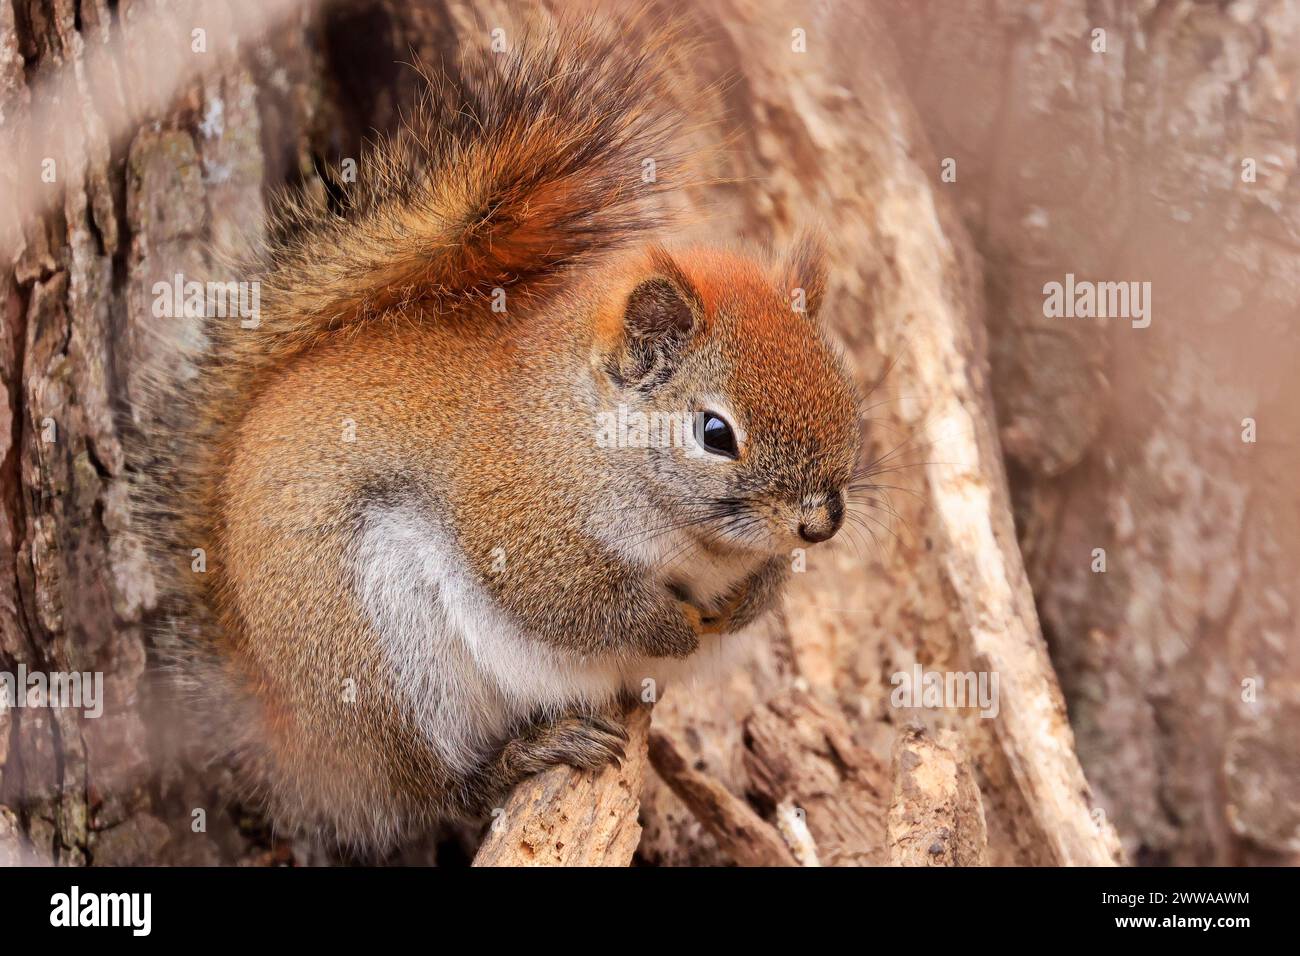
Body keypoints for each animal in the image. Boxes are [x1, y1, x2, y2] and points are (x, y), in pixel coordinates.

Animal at [133, 21, 862, 852]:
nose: (821, 523)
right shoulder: (511, 507)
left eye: (844, 390)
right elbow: (567, 602)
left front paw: (752, 598)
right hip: (387, 661)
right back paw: (531, 751)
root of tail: (293, 742)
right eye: (715, 433)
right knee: (436, 789)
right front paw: (661, 625)